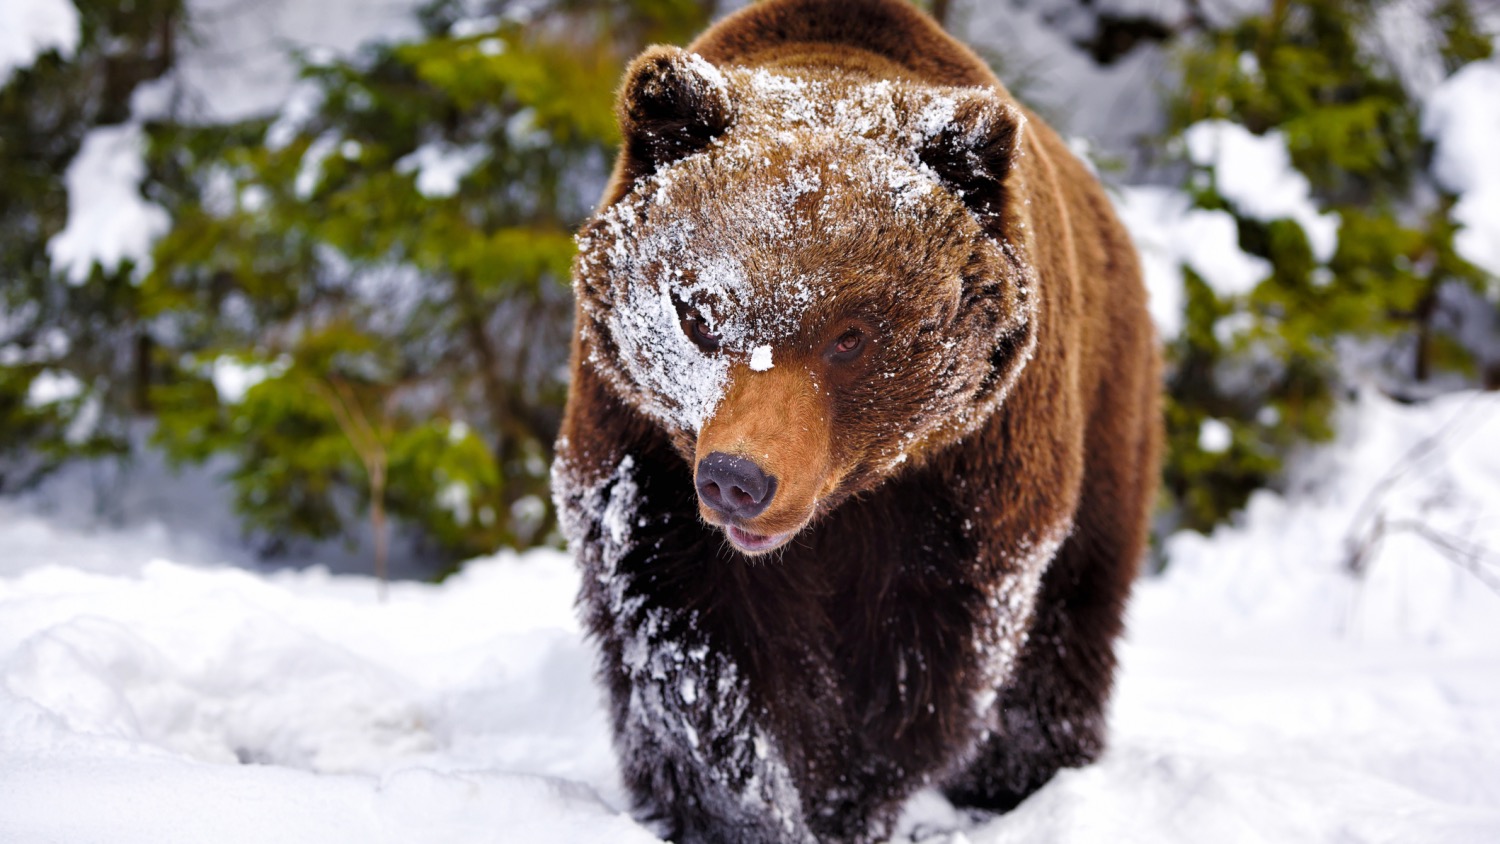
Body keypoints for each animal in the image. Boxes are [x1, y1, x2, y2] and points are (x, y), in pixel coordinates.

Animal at [551, 0, 1160, 841]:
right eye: (696, 313)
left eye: (851, 335)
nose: (739, 479)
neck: (838, 511)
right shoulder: (645, 461)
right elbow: (694, 655)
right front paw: (741, 809)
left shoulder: (961, 490)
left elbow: (913, 675)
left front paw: (845, 800)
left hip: (1107, 418)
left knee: (1067, 627)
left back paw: (1022, 781)